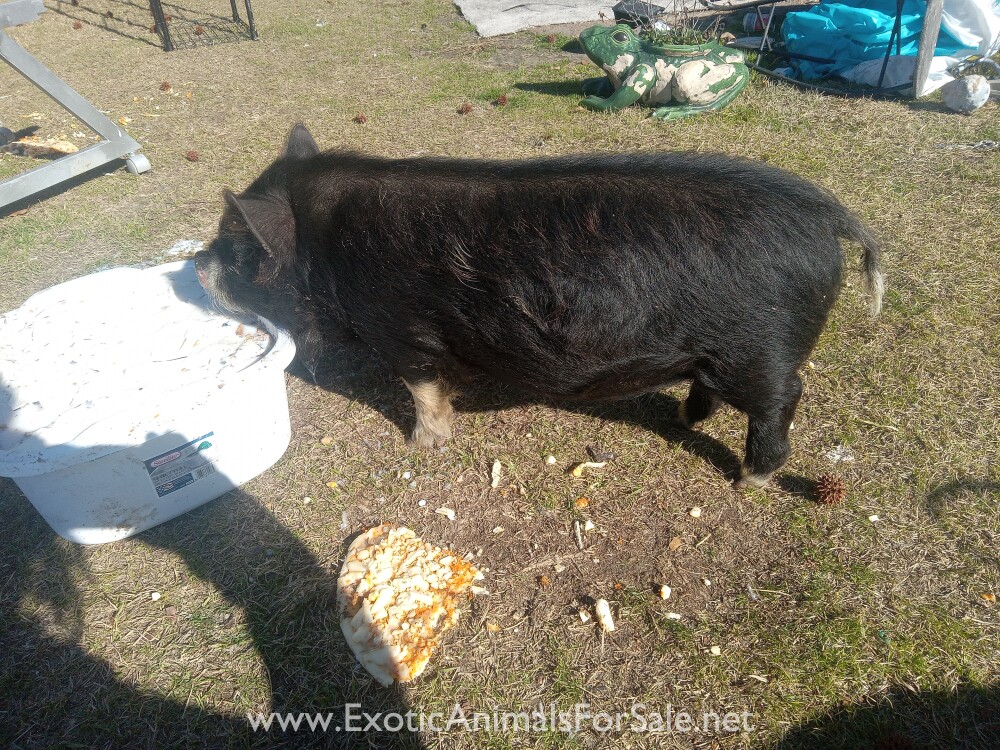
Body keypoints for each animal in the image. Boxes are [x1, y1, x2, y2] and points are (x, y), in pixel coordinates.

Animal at [194, 123, 883, 488]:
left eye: (238, 249)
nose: (196, 263)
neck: (328, 251)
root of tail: (829, 217)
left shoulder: (404, 334)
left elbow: (423, 390)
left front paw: (421, 448)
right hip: (719, 355)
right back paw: (688, 420)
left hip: (762, 351)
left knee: (783, 400)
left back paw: (746, 481)